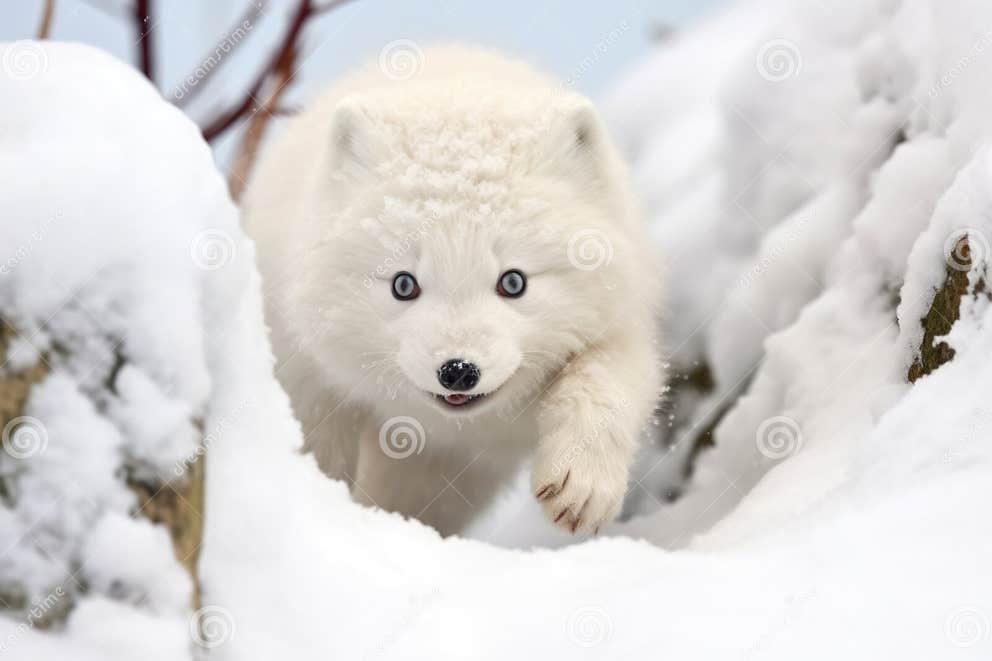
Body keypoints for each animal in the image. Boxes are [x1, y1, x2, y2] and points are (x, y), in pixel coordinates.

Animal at [243, 44, 663, 536]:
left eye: (513, 282)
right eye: (403, 284)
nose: (458, 371)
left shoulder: (622, 319)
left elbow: (606, 380)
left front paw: (581, 483)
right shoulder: (305, 374)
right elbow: (316, 449)